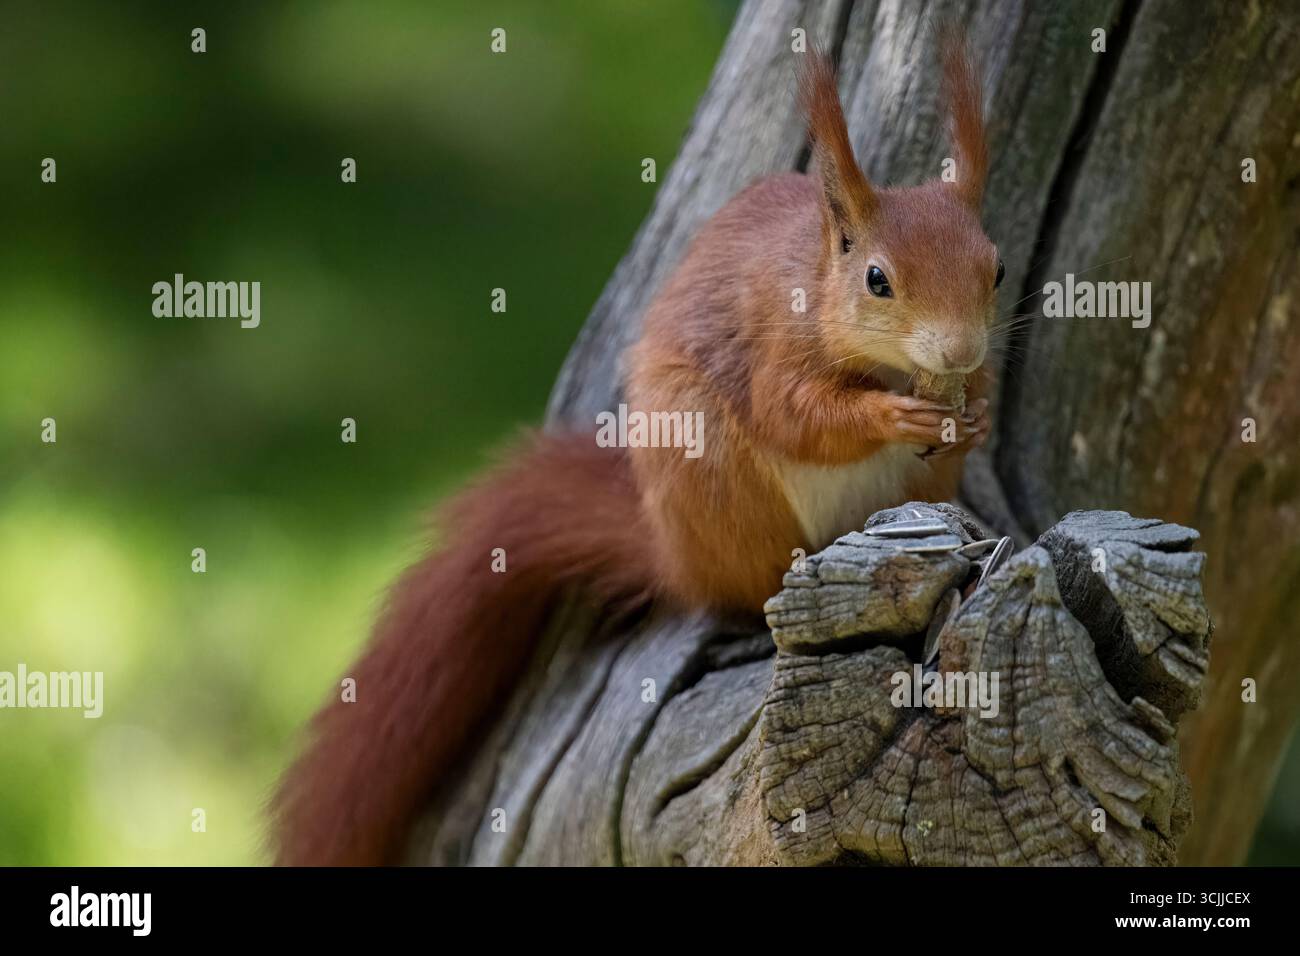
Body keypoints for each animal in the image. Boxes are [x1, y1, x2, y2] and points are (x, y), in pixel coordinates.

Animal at [273, 36, 1002, 866]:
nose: (959, 350)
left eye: (998, 270)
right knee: (747, 585)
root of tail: (671, 551)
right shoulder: (774, 348)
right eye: (877, 279)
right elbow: (796, 415)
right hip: (709, 464)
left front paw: (975, 415)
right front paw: (895, 413)